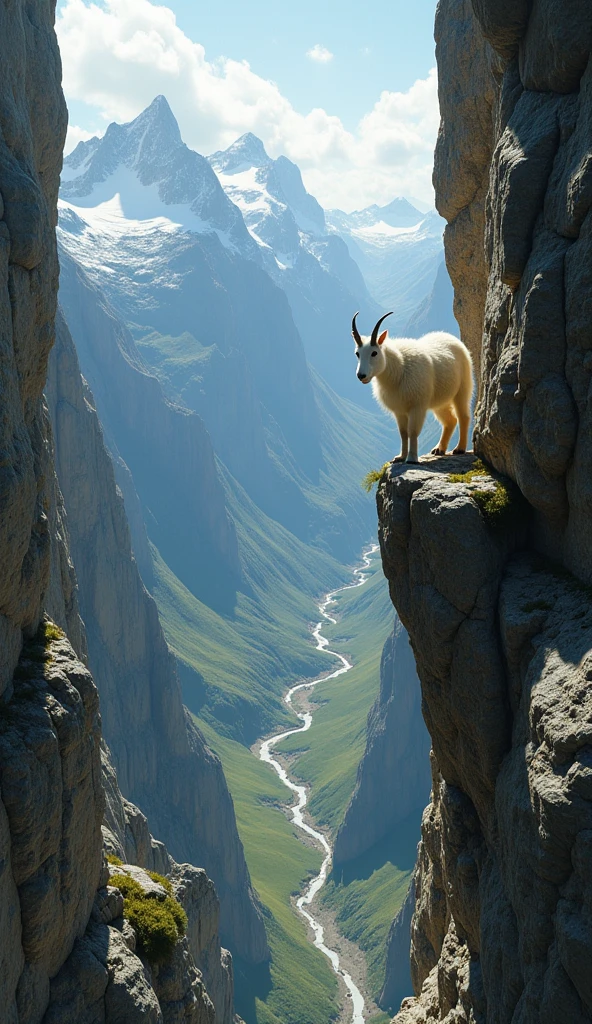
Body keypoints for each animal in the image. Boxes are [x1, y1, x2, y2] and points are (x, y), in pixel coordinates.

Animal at [352, 312, 473, 464]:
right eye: (357, 353)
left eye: (374, 353)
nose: (361, 376)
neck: (399, 368)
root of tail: (452, 338)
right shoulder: (399, 410)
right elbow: (403, 433)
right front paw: (400, 457)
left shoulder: (417, 406)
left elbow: (413, 431)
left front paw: (411, 458)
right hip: (440, 401)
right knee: (450, 420)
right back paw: (439, 449)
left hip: (462, 389)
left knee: (463, 417)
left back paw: (459, 448)